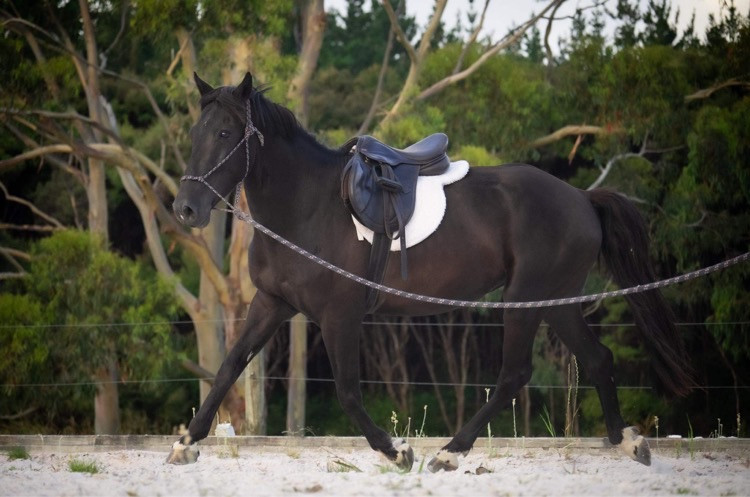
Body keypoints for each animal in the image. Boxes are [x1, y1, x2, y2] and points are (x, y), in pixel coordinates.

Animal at [168, 72, 694, 471]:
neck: (309, 205)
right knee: (598, 359)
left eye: (225, 135)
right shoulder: (271, 303)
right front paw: (185, 443)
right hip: (555, 301)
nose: (186, 209)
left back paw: (450, 452)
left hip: (525, 298)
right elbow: (228, 368)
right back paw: (628, 441)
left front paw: (397, 451)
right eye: (194, 134)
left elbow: (348, 393)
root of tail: (583, 199)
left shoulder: (340, 315)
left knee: (515, 373)